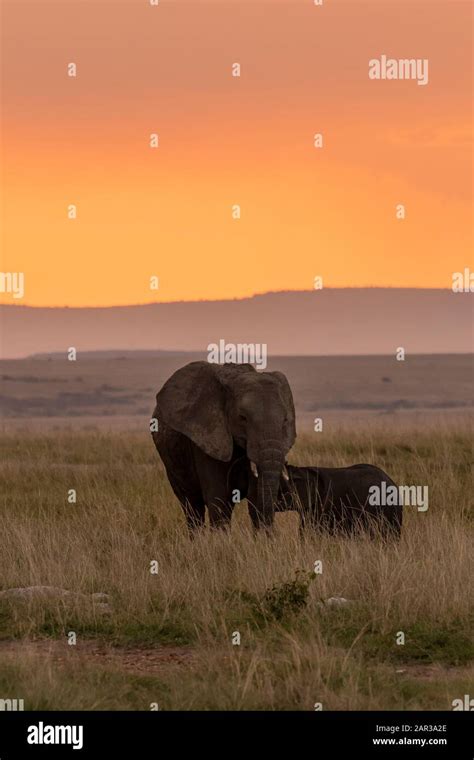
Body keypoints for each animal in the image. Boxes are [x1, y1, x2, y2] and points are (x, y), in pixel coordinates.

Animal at [151, 361, 296, 531]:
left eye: (285, 420)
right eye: (243, 418)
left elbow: (255, 499)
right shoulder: (206, 438)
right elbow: (218, 501)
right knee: (192, 507)